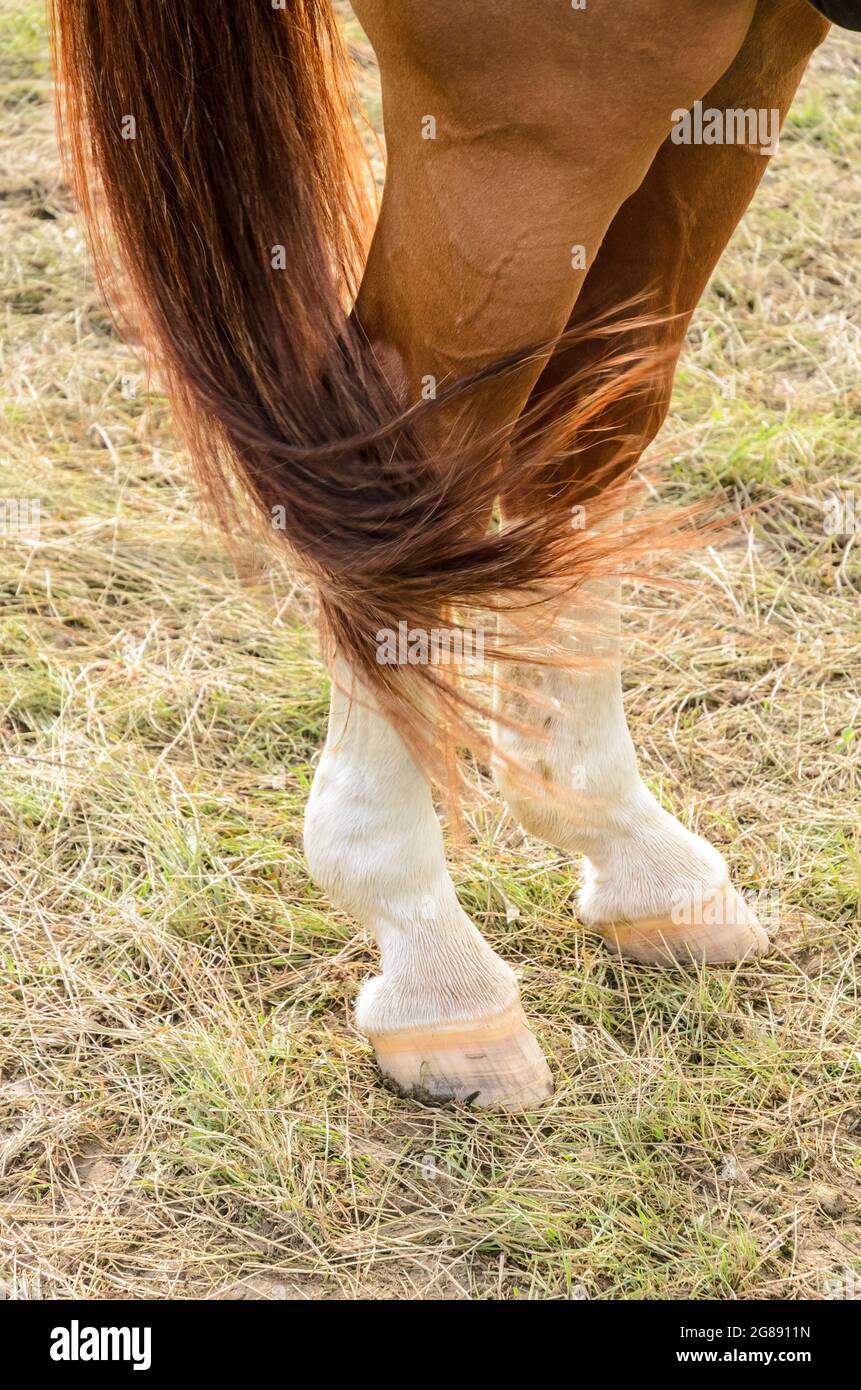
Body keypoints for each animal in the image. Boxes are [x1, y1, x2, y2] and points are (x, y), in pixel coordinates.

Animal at [50, 1, 855, 1109]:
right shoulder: (545, 100)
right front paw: (433, 967)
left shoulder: (758, 59)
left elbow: (595, 425)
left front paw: (613, 833)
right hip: (554, 111)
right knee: (408, 481)